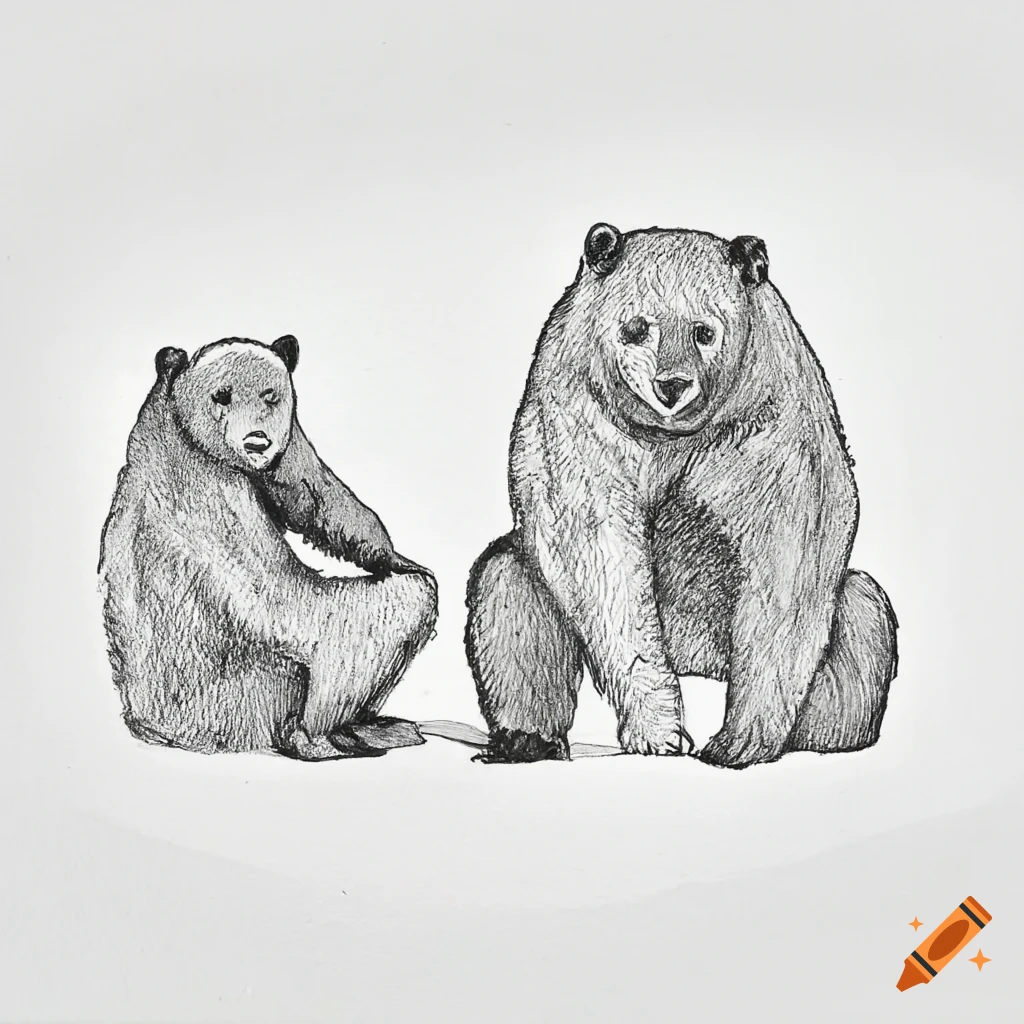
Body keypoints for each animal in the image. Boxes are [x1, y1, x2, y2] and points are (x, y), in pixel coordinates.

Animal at [99, 334, 438, 760]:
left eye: (270, 396)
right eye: (221, 395)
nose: (257, 441)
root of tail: (152, 725)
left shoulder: (283, 449)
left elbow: (310, 491)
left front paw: (393, 555)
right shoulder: (211, 493)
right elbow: (287, 597)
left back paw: (377, 728)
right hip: (240, 699)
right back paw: (324, 735)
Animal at [465, 224, 898, 768]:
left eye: (704, 331)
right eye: (637, 327)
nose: (672, 385)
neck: (670, 431)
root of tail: (703, 662)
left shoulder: (768, 415)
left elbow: (787, 548)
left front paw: (737, 742)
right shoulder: (580, 401)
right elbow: (597, 543)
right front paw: (662, 731)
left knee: (863, 615)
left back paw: (826, 734)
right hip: (526, 595)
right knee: (509, 593)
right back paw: (527, 739)